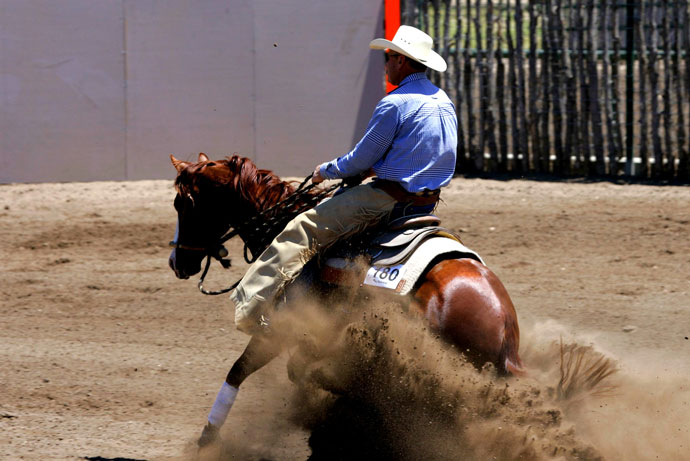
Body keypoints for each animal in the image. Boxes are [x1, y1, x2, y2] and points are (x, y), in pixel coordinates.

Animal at [167, 153, 523, 446]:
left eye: (180, 203)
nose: (176, 262)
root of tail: (504, 325)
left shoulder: (282, 328)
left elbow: (241, 370)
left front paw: (207, 439)